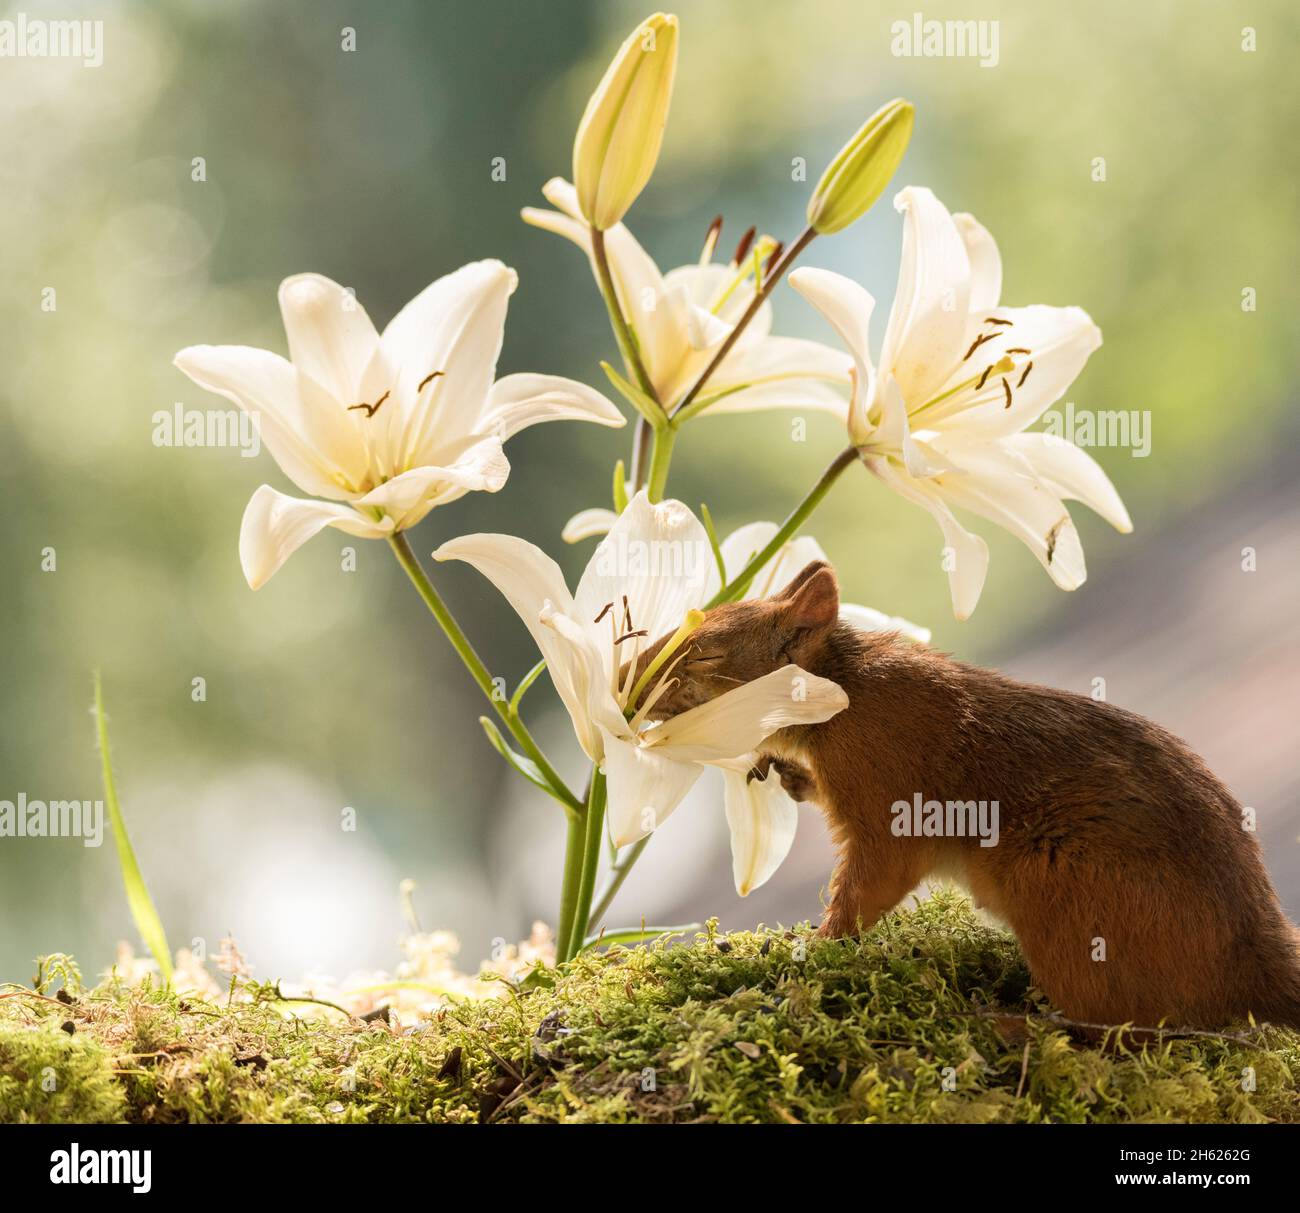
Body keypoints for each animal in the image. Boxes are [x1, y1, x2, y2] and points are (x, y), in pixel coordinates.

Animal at [639, 560, 1300, 1030]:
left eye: (706, 652)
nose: (629, 676)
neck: (846, 690)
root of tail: (1255, 961)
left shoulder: (886, 793)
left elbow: (870, 882)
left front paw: (813, 947)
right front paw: (785, 772)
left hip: (1066, 891)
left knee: (1119, 1029)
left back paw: (1020, 1025)